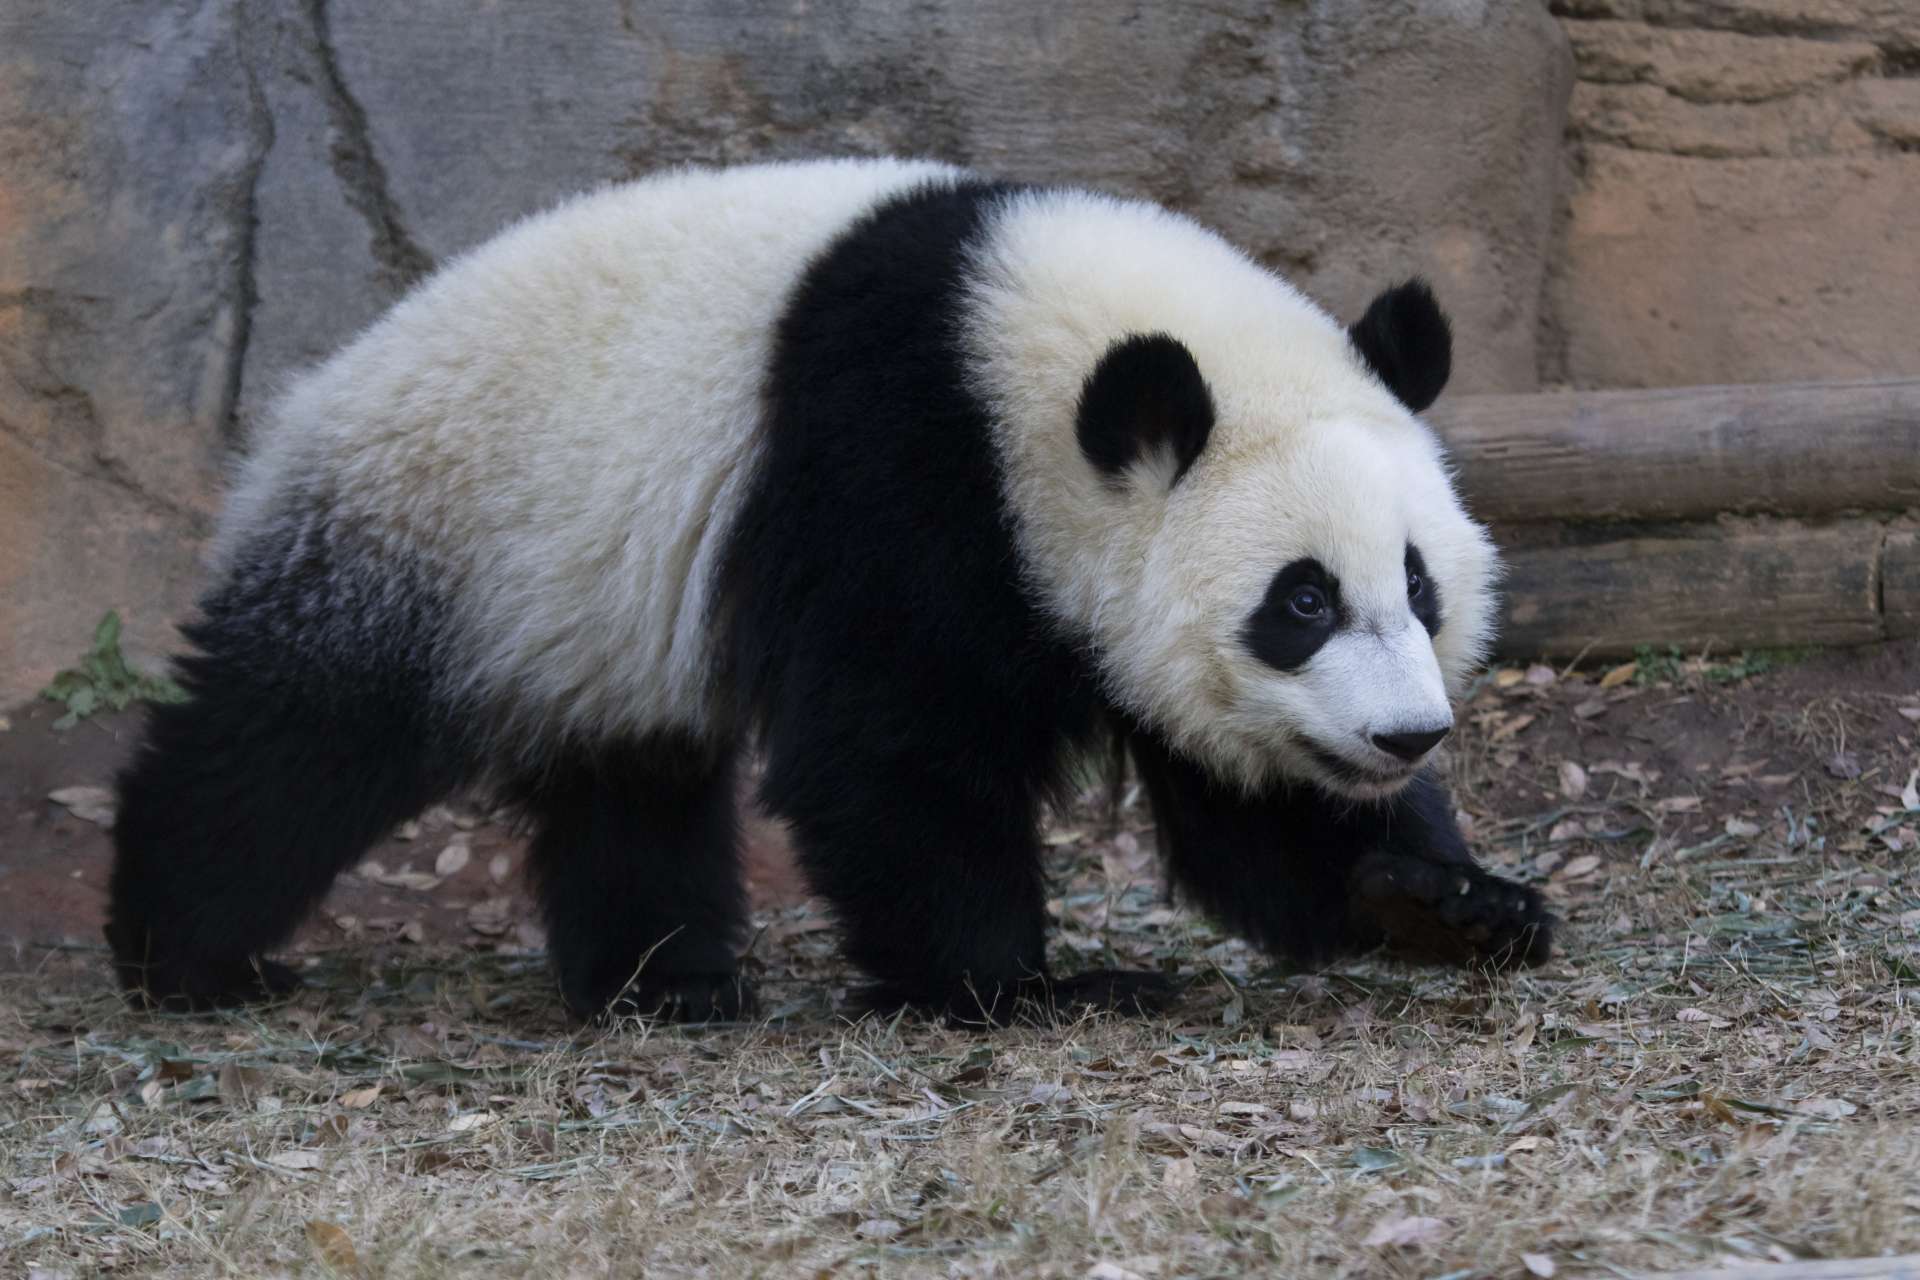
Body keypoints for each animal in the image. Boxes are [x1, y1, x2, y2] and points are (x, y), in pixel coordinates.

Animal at [106, 156, 1553, 1022]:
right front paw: (1025, 985)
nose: (1406, 736)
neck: (1018, 345)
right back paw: (191, 955)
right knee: (288, 742)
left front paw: (1445, 900)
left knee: (627, 784)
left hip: (575, 607)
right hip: (427, 528)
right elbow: (890, 747)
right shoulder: (894, 471)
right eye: (1300, 602)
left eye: (1419, 586)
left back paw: (665, 983)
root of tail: (315, 386)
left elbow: (1239, 812)